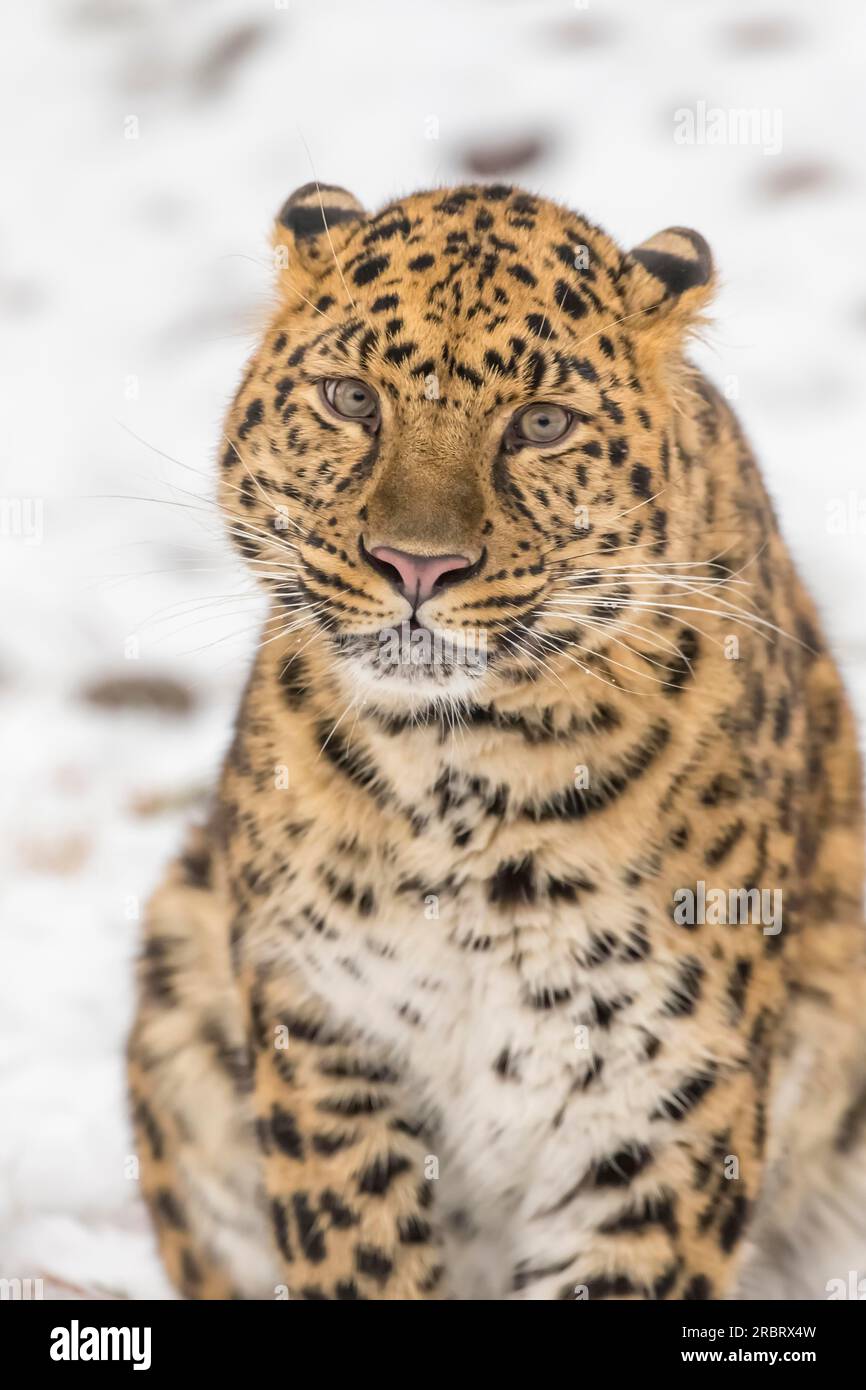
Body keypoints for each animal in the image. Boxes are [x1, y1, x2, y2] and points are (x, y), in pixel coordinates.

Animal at [128, 181, 866, 1301]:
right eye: (351, 399)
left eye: (541, 424)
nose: (414, 566)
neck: (456, 776)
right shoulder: (327, 1034)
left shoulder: (659, 1092)